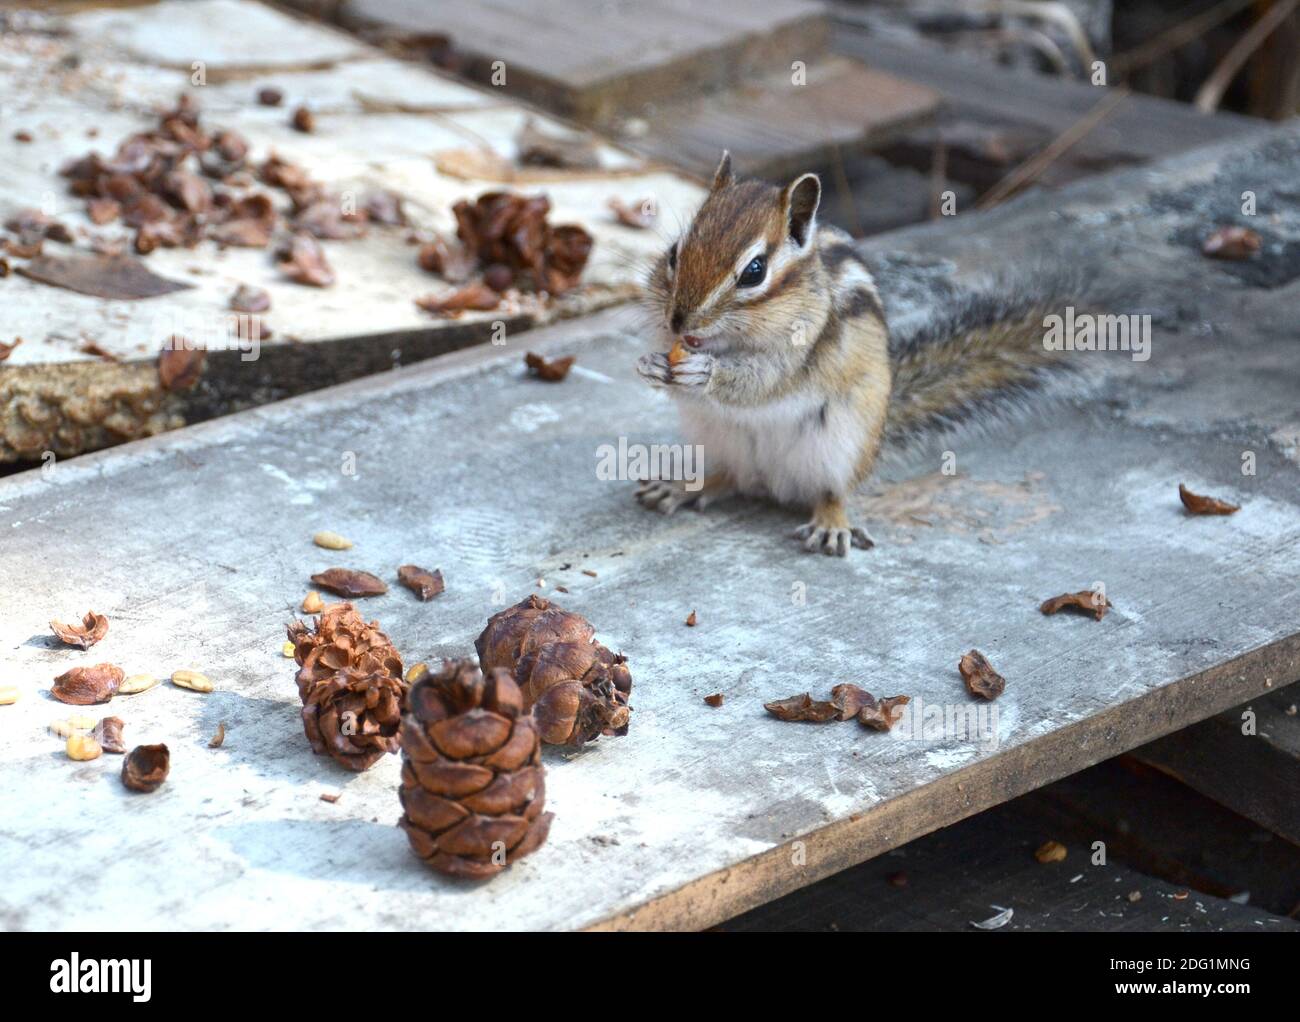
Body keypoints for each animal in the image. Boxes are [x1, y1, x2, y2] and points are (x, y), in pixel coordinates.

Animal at [635, 151, 1079, 556]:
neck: (730, 342)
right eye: (674, 253)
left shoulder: (803, 348)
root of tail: (771, 481)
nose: (679, 323)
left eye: (754, 271)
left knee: (832, 492)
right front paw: (652, 365)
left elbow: (762, 382)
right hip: (714, 437)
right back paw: (683, 486)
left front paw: (706, 373)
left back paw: (830, 524)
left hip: (842, 445)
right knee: (730, 476)